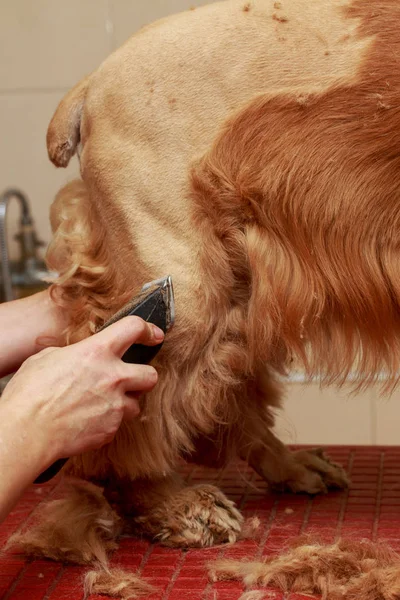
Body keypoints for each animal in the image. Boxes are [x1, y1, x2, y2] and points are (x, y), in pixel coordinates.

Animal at [9, 1, 400, 596]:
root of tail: (91, 84)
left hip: (231, 279)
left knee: (227, 398)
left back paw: (293, 468)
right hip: (183, 283)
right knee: (139, 421)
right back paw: (178, 508)